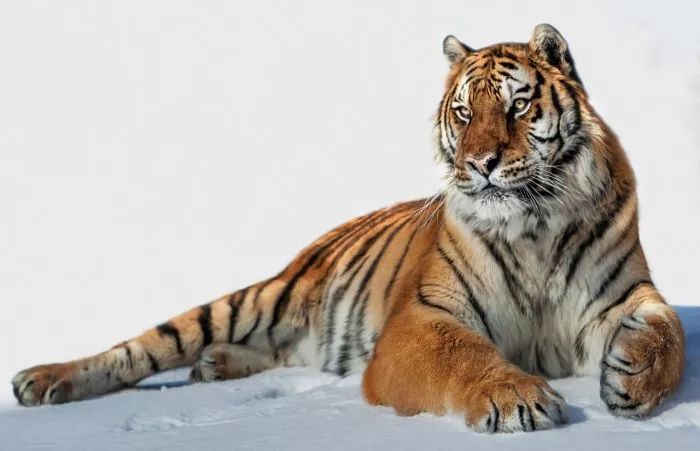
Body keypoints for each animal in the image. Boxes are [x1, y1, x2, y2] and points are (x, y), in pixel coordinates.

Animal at [12, 24, 685, 433]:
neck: (533, 230)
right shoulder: (422, 318)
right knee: (136, 349)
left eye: (517, 106)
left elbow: (668, 330)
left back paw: (215, 366)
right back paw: (41, 381)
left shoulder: (624, 293)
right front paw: (516, 397)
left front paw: (632, 377)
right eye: (464, 112)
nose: (479, 163)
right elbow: (464, 354)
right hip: (253, 298)